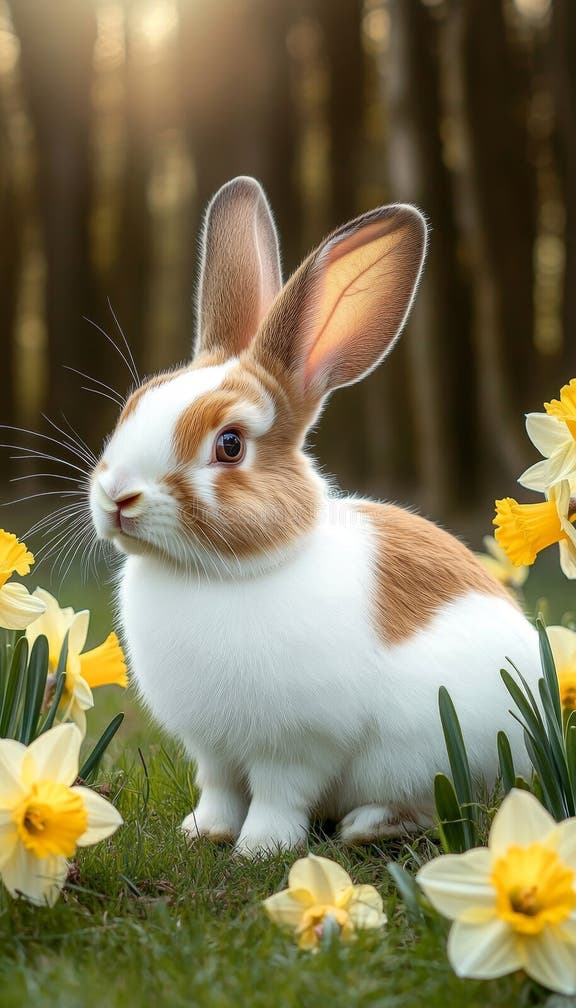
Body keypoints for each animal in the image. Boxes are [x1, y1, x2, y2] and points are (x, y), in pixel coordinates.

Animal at [89, 176, 540, 856]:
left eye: (230, 445)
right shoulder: (211, 748)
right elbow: (218, 788)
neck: (218, 573)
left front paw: (260, 850)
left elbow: (279, 797)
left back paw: (366, 826)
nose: (117, 497)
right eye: (136, 404)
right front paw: (204, 832)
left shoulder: (296, 746)